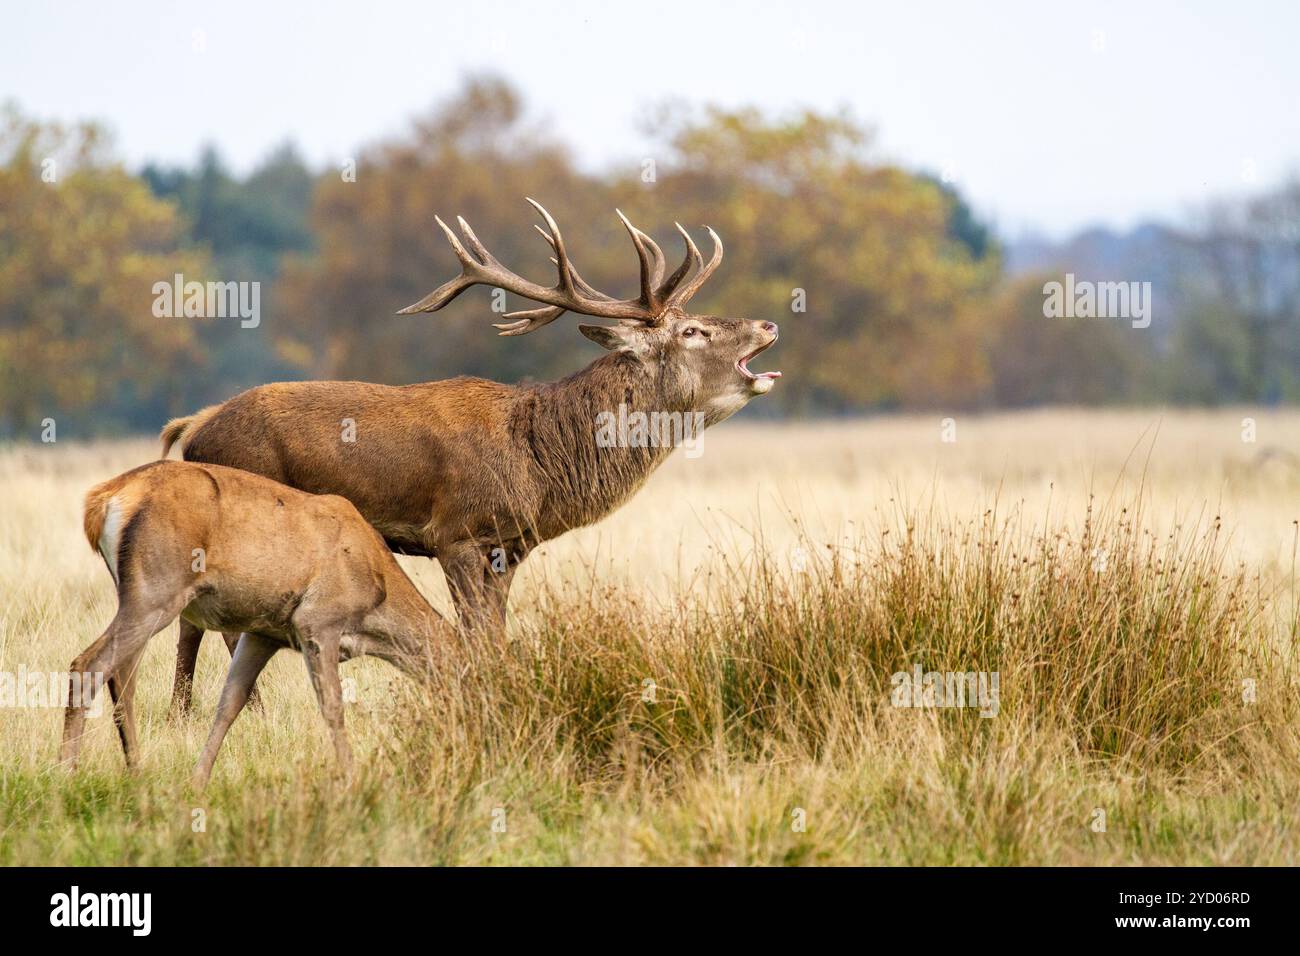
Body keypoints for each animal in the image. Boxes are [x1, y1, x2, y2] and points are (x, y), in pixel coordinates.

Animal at [63, 459, 452, 787]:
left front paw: (198, 781)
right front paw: (351, 779)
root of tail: (103, 501)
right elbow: (333, 706)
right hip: (156, 590)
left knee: (122, 675)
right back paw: (68, 773)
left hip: (136, 595)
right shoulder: (317, 622)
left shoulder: (263, 633)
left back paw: (136, 771)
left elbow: (229, 704)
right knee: (88, 663)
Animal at [159, 198, 781, 714]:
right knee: (220, 621)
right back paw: (238, 709)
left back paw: (182, 712)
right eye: (692, 331)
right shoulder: (453, 532)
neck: (537, 460)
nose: (768, 323)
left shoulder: (511, 545)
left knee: (192, 619)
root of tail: (195, 427)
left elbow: (497, 635)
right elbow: (475, 635)